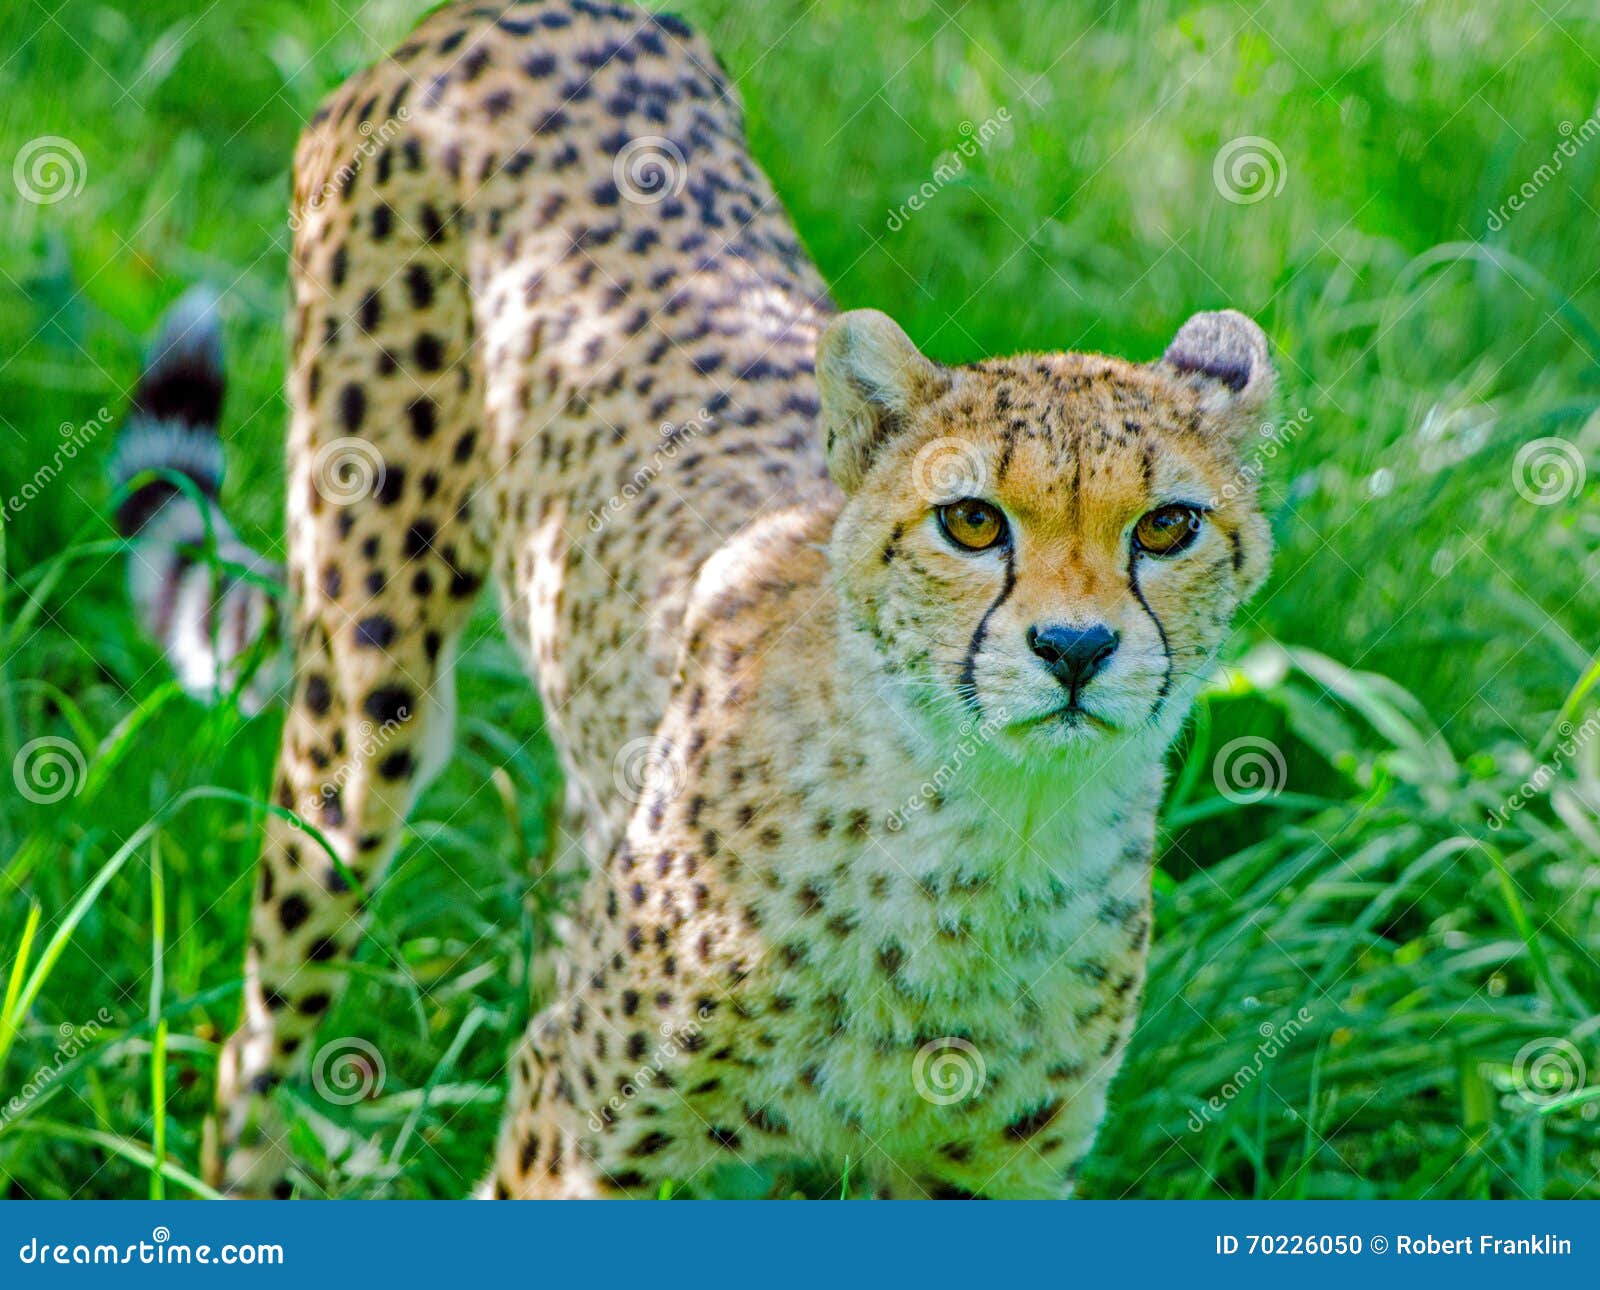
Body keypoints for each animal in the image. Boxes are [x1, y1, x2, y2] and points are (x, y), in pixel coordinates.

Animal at [112, 0, 1275, 1199]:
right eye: (971, 521)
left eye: (1167, 527)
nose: (1075, 648)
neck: (991, 832)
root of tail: (503, 16)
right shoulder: (573, 1128)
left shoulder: (993, 1176)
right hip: (363, 684)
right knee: (260, 1022)